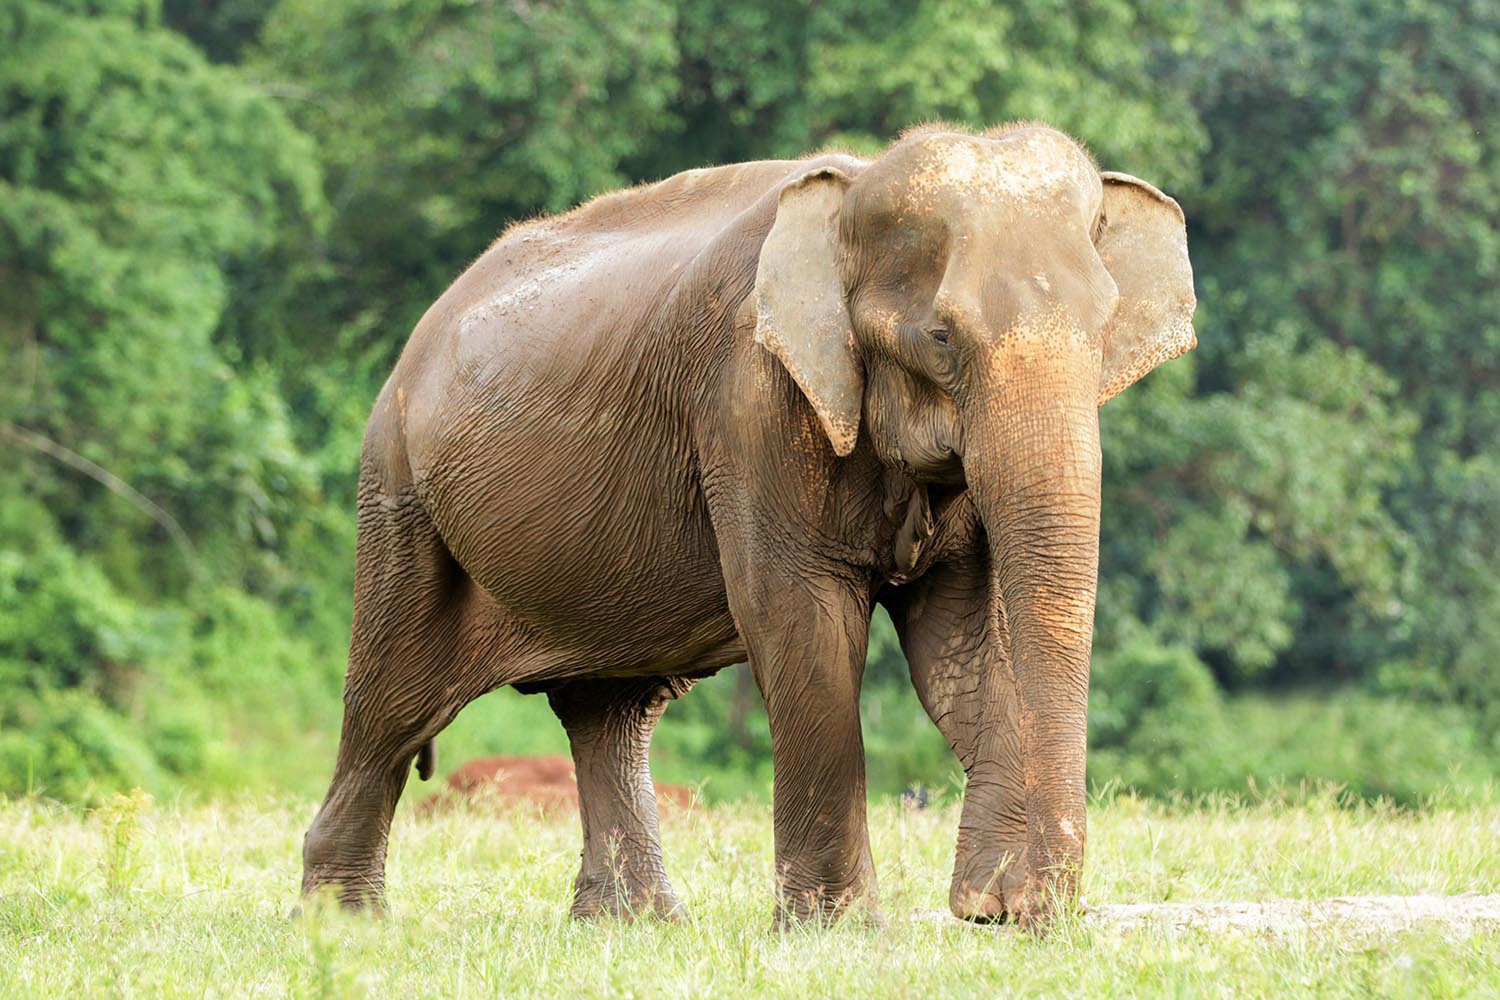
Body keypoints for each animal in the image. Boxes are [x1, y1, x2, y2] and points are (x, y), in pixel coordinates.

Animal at [300, 121, 1196, 929]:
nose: (1044, 912)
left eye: (1105, 332)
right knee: (392, 702)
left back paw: (632, 925)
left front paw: (990, 908)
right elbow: (801, 618)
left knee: (608, 711)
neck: (854, 187)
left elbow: (964, 644)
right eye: (941, 339)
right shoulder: (750, 396)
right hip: (399, 496)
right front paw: (838, 931)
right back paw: (344, 921)